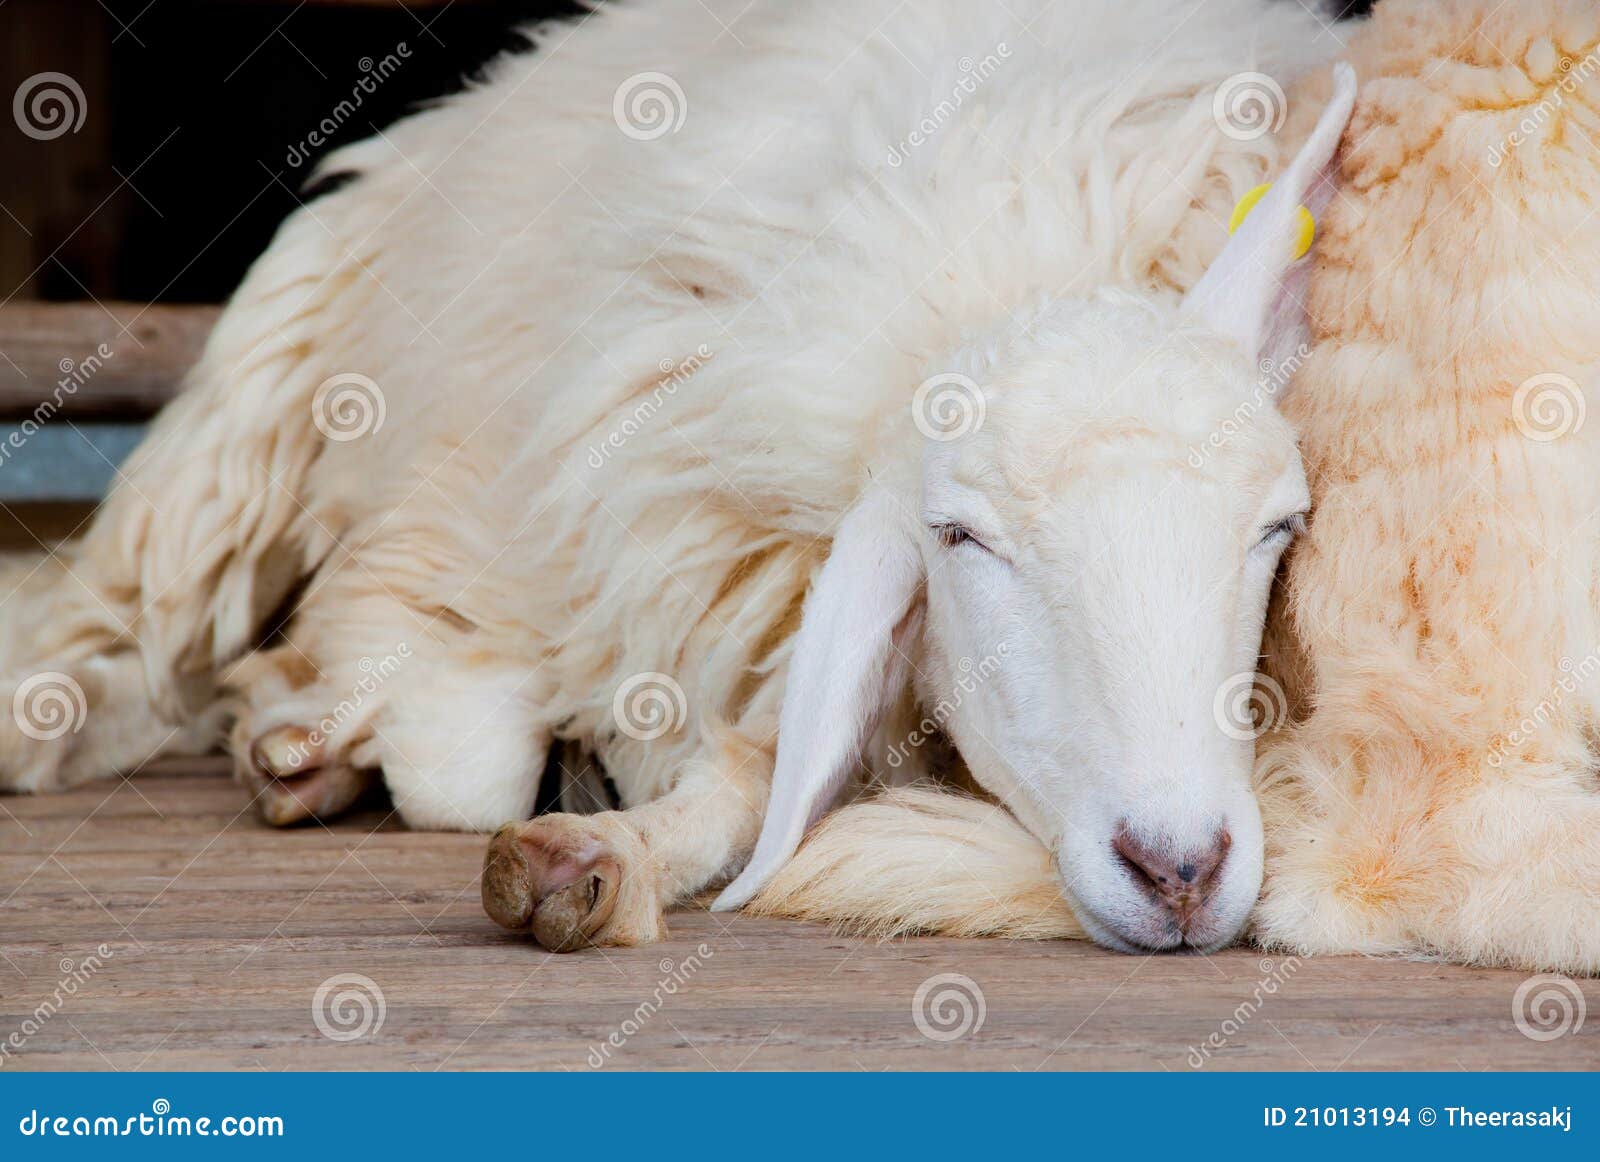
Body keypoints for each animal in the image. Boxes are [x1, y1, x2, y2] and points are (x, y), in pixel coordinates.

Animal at [0, 0, 1351, 954]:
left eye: (1277, 527)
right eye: (961, 538)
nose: (1177, 867)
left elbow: (752, 775)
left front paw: (605, 854)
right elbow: (464, 760)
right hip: (270, 377)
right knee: (131, 602)